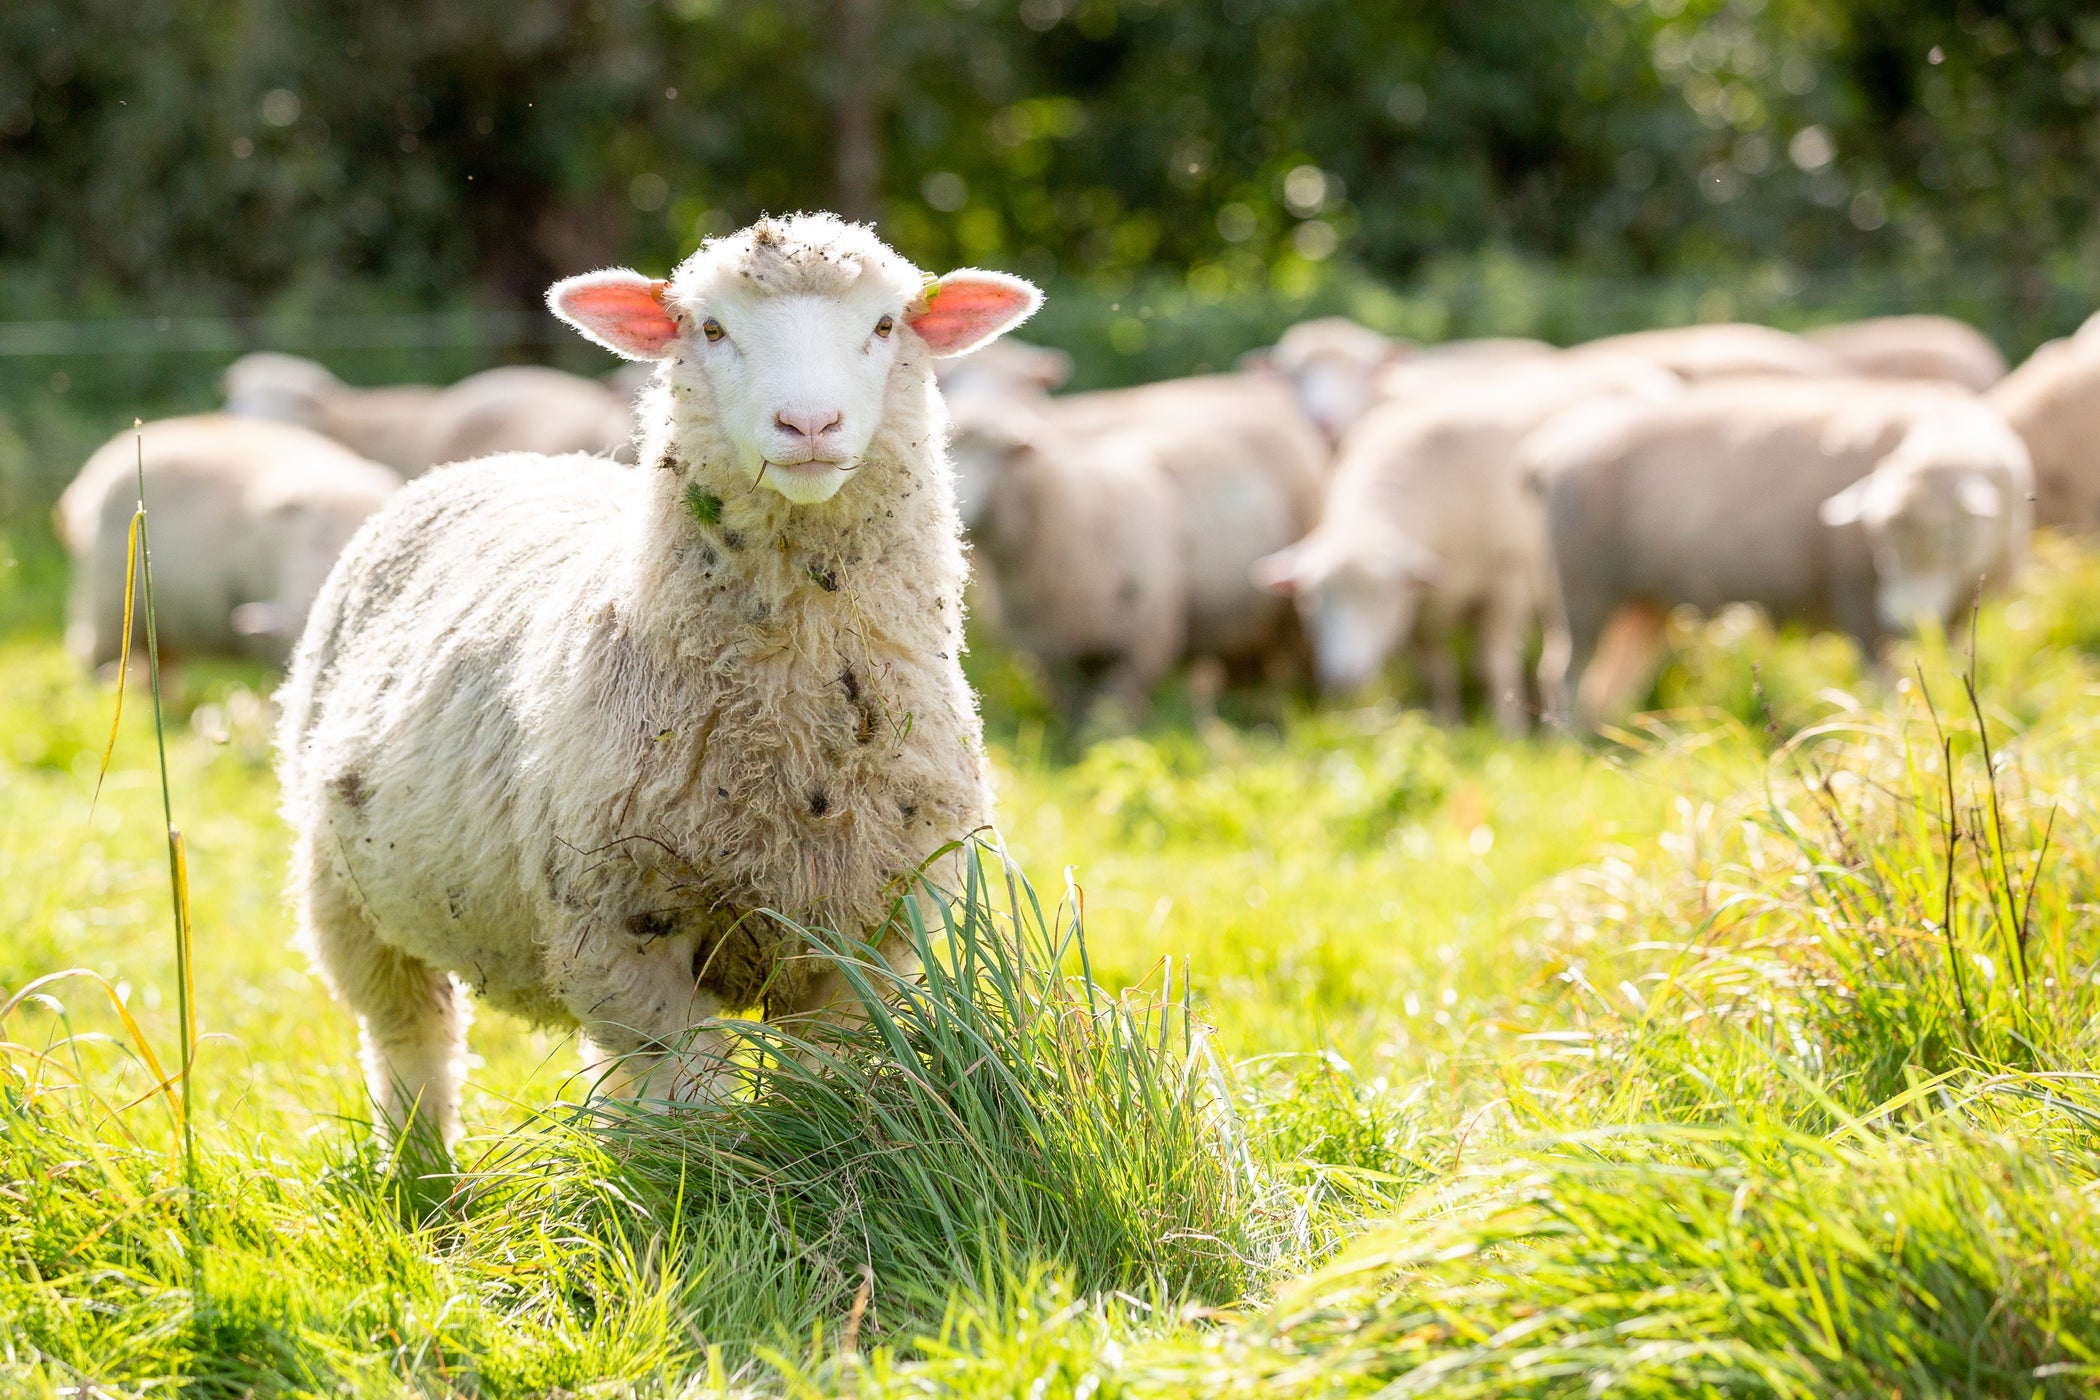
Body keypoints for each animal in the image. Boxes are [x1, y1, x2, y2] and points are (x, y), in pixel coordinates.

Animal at [275, 214, 1040, 1149]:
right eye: (711, 329)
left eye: (886, 324)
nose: (808, 422)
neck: (787, 738)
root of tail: (499, 459)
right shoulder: (626, 931)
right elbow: (689, 1098)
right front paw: (693, 1177)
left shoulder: (872, 935)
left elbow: (823, 1085)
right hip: (345, 893)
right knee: (411, 1041)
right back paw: (422, 1169)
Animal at [1250, 351, 1677, 732]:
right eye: (1308, 600)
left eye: (1382, 597)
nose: (1343, 677)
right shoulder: (1420, 608)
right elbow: (1435, 670)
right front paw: (1447, 726)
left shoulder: (1508, 581)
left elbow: (1492, 664)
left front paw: (1509, 732)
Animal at [1532, 377, 2032, 726]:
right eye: (1879, 544)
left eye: (1951, 539)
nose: (1902, 618)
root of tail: (1552, 450)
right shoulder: (1856, 596)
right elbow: (1883, 675)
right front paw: (1892, 720)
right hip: (1582, 587)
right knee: (1562, 670)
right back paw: (1571, 740)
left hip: (1641, 601)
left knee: (1614, 676)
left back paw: (1608, 734)